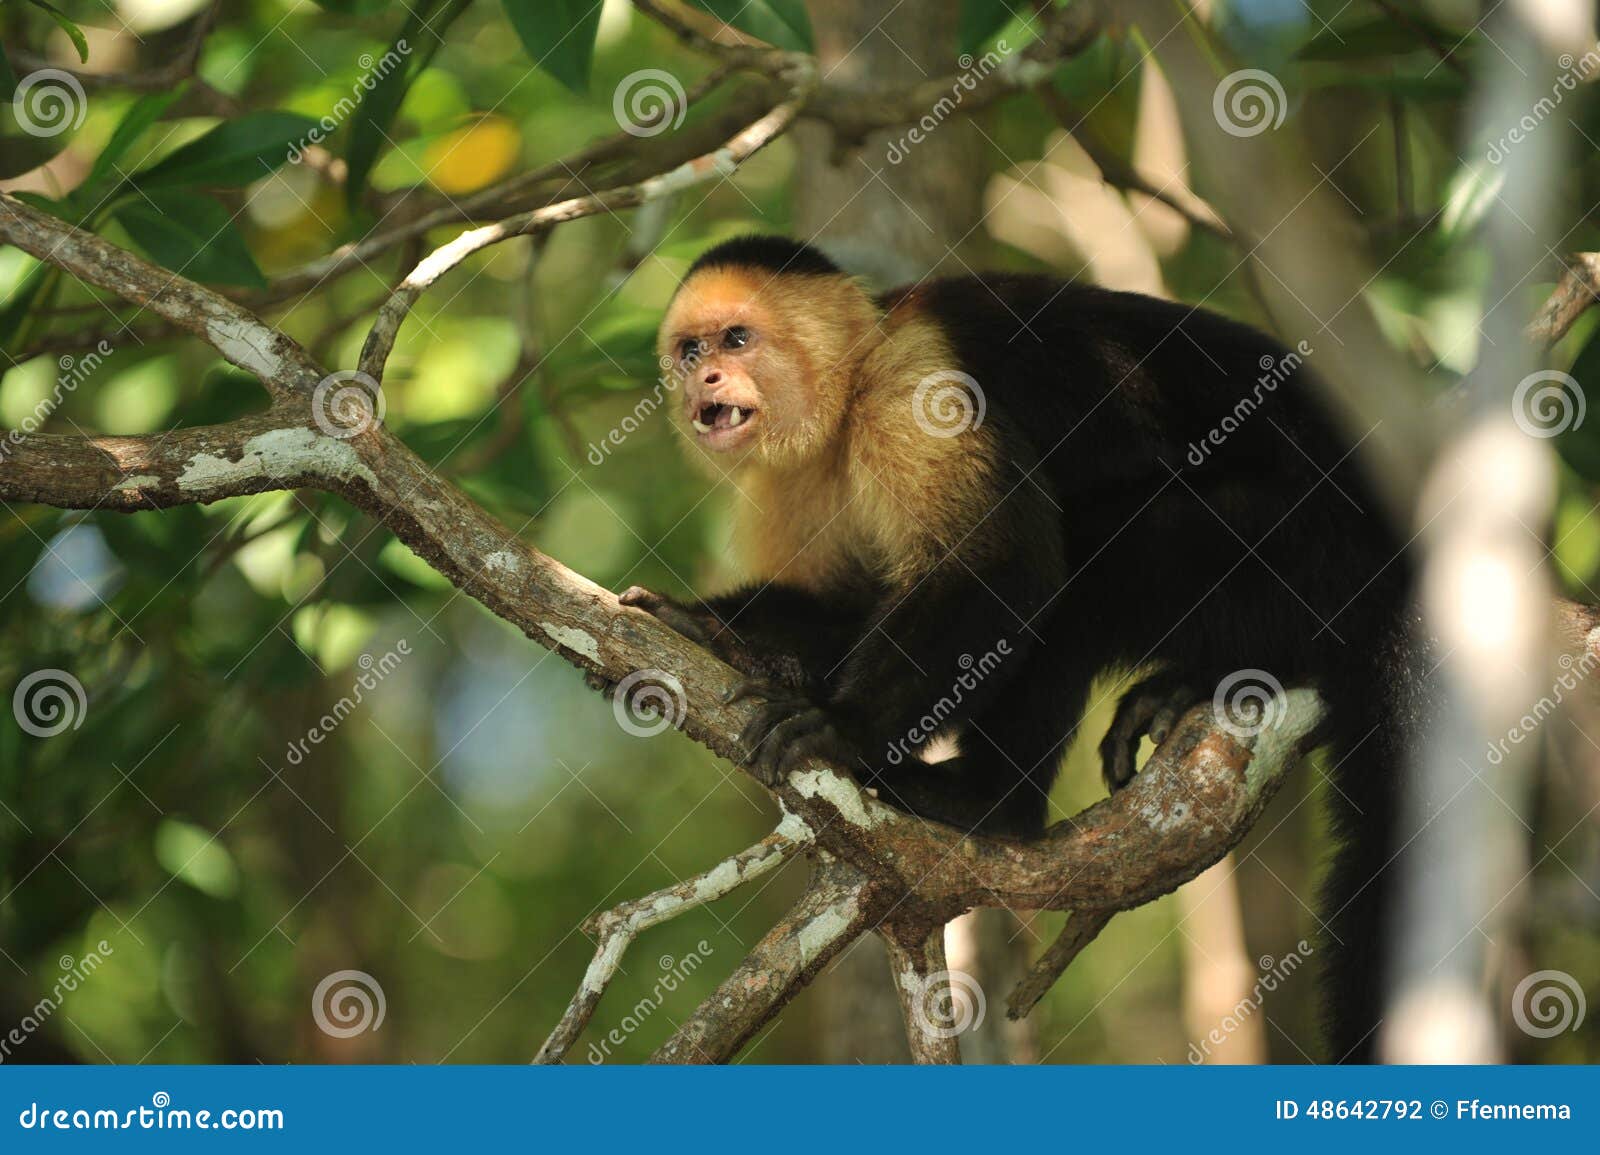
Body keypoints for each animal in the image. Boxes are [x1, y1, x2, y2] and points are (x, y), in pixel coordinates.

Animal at [617, 234, 1432, 1062]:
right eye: (689, 350)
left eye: (737, 339)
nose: (705, 379)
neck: (843, 405)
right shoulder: (785, 485)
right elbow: (848, 606)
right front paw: (715, 630)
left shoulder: (913, 385)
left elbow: (999, 564)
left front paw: (845, 727)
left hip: (1311, 546)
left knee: (1081, 573)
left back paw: (989, 800)